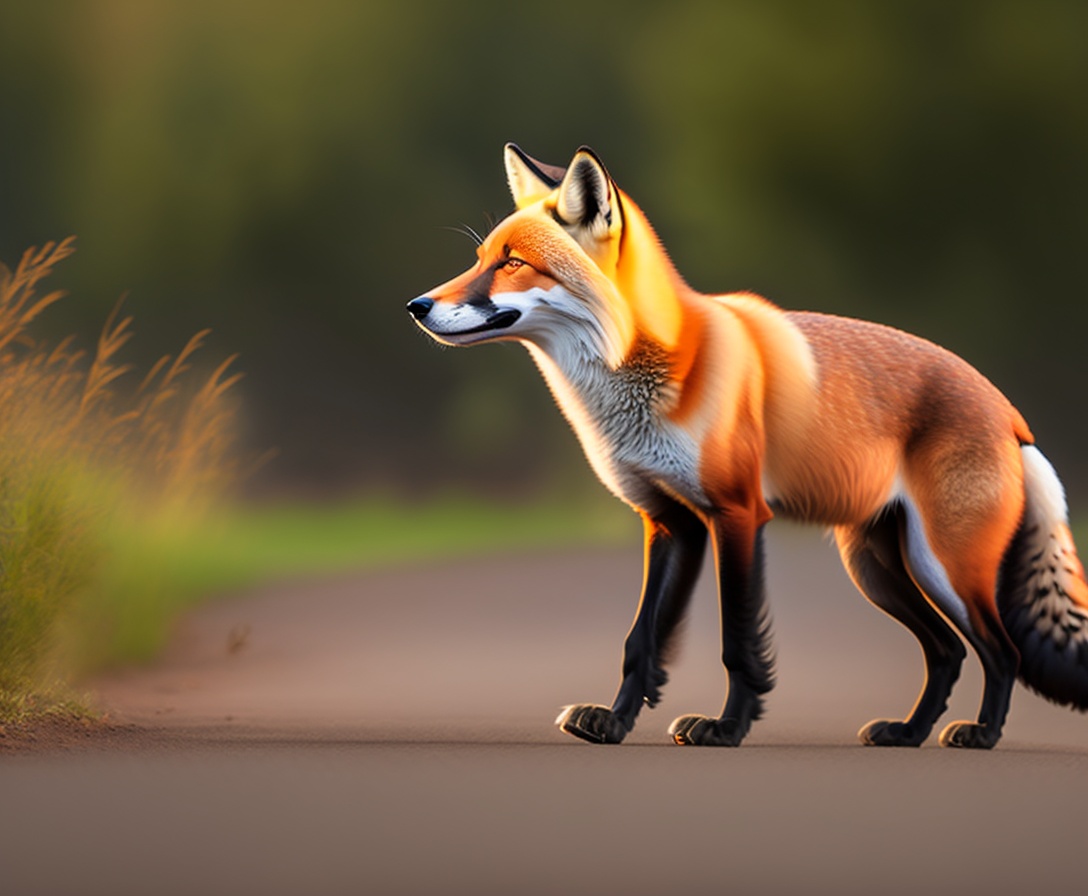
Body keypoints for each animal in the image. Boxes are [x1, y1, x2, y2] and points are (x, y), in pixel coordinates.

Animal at [406, 143, 1088, 749]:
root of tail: (1008, 411)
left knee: (1002, 651)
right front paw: (615, 723)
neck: (656, 378)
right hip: (877, 566)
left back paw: (982, 735)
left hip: (943, 564)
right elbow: (640, 642)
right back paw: (908, 732)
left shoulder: (736, 514)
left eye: (512, 263)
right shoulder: (670, 522)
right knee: (946, 651)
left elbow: (737, 641)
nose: (417, 306)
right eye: (479, 259)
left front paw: (726, 729)